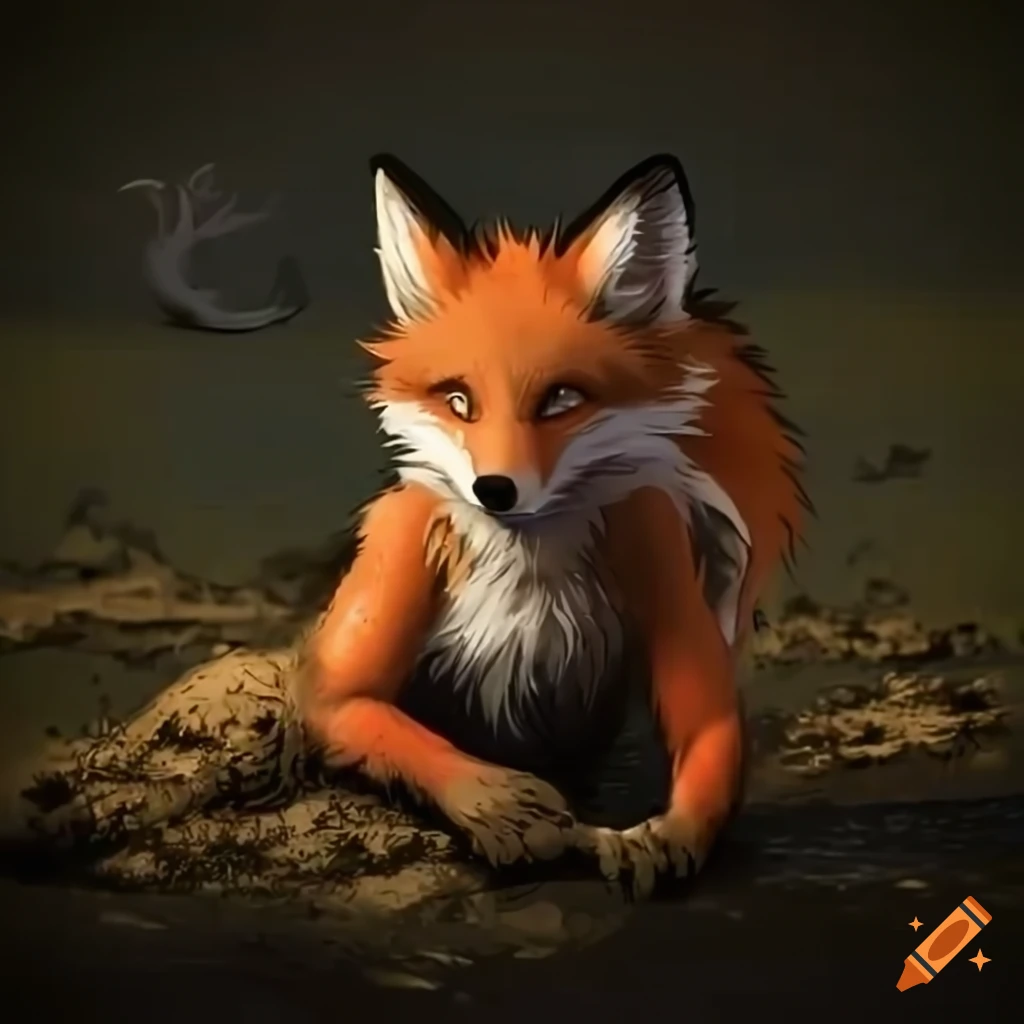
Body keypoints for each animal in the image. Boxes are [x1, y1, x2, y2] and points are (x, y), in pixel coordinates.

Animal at [296, 152, 809, 897]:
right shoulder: (399, 544)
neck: (528, 566)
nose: (495, 490)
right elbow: (355, 706)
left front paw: (667, 836)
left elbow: (708, 727)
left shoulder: (648, 531)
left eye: (560, 399)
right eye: (459, 401)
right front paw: (496, 804)